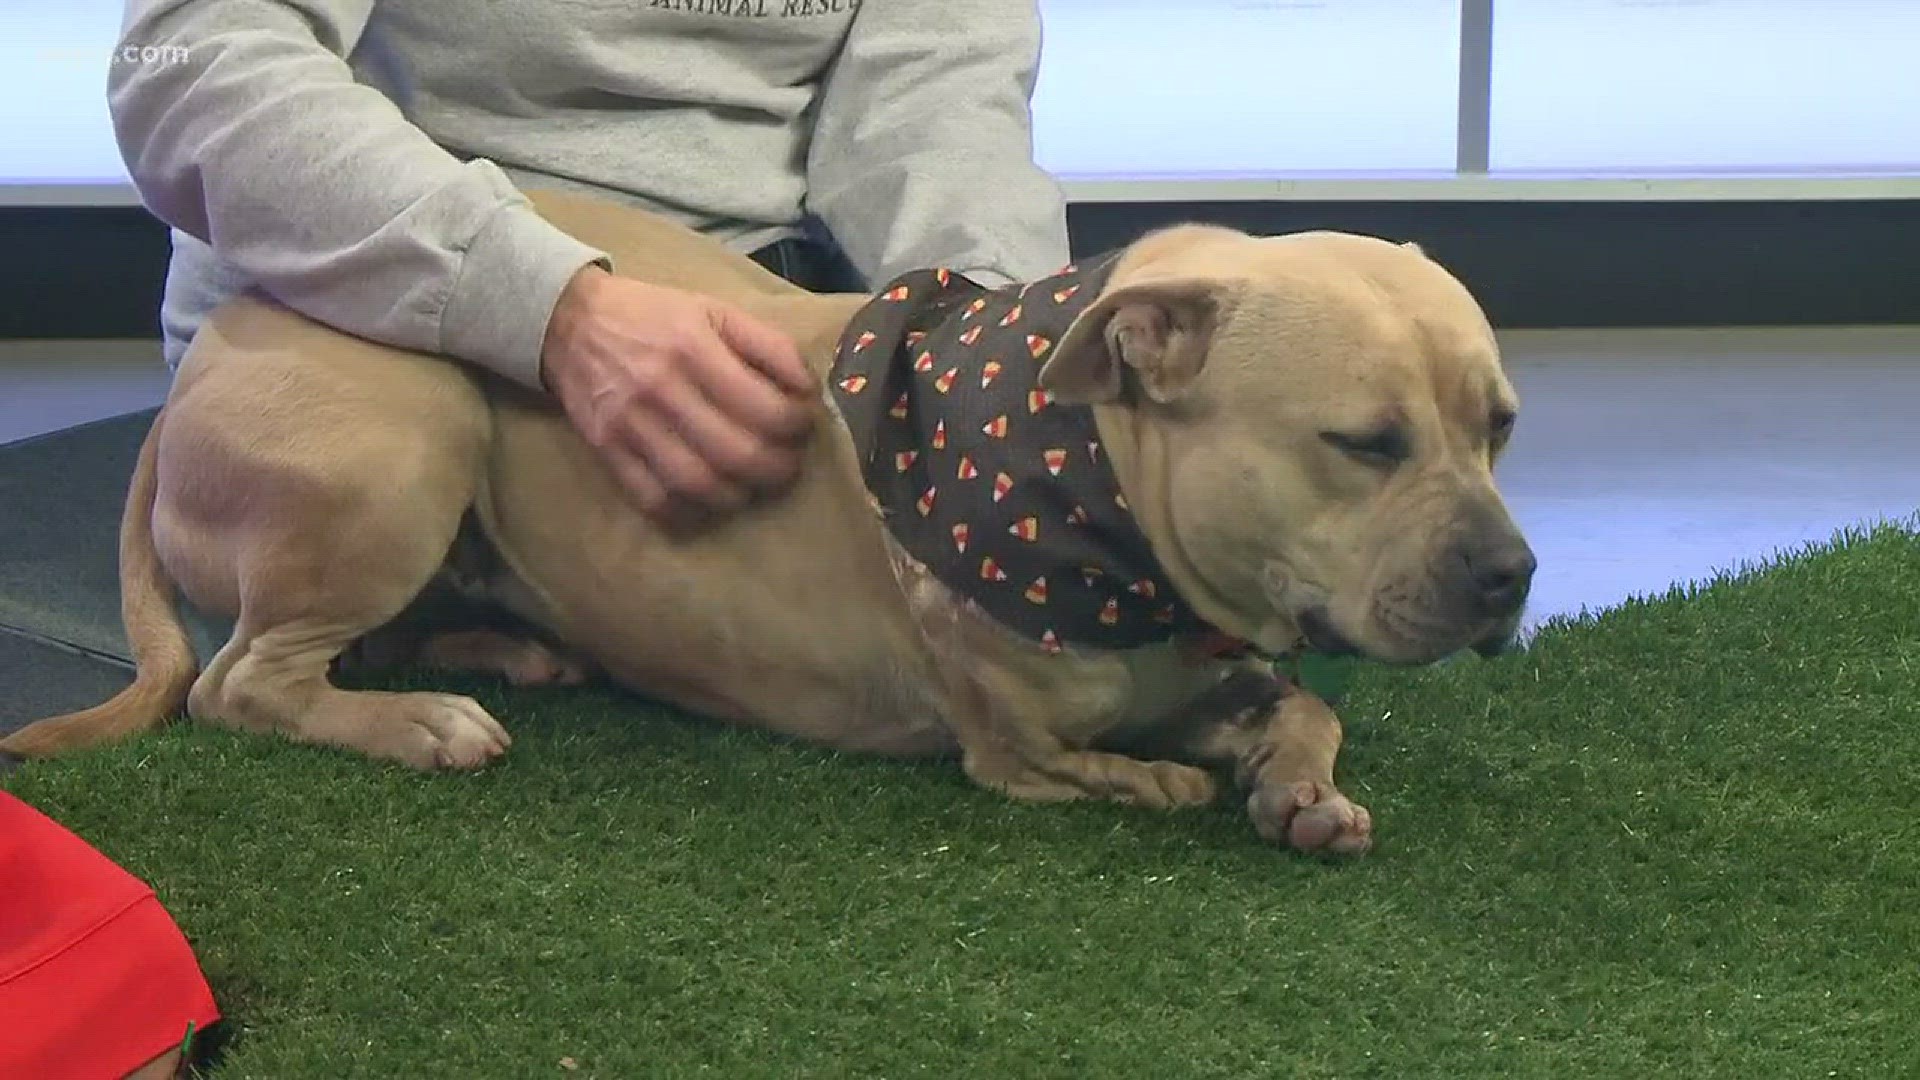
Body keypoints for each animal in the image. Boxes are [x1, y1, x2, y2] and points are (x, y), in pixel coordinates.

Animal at [2, 190, 1534, 856]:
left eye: (1501, 424)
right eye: (1364, 443)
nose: (1513, 576)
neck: (1094, 474)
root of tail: (204, 367)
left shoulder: (1218, 658)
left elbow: (1303, 707)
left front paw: (1303, 786)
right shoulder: (1012, 735)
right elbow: (1073, 763)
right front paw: (1166, 783)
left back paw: (506, 655)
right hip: (410, 432)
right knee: (243, 682)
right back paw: (426, 723)